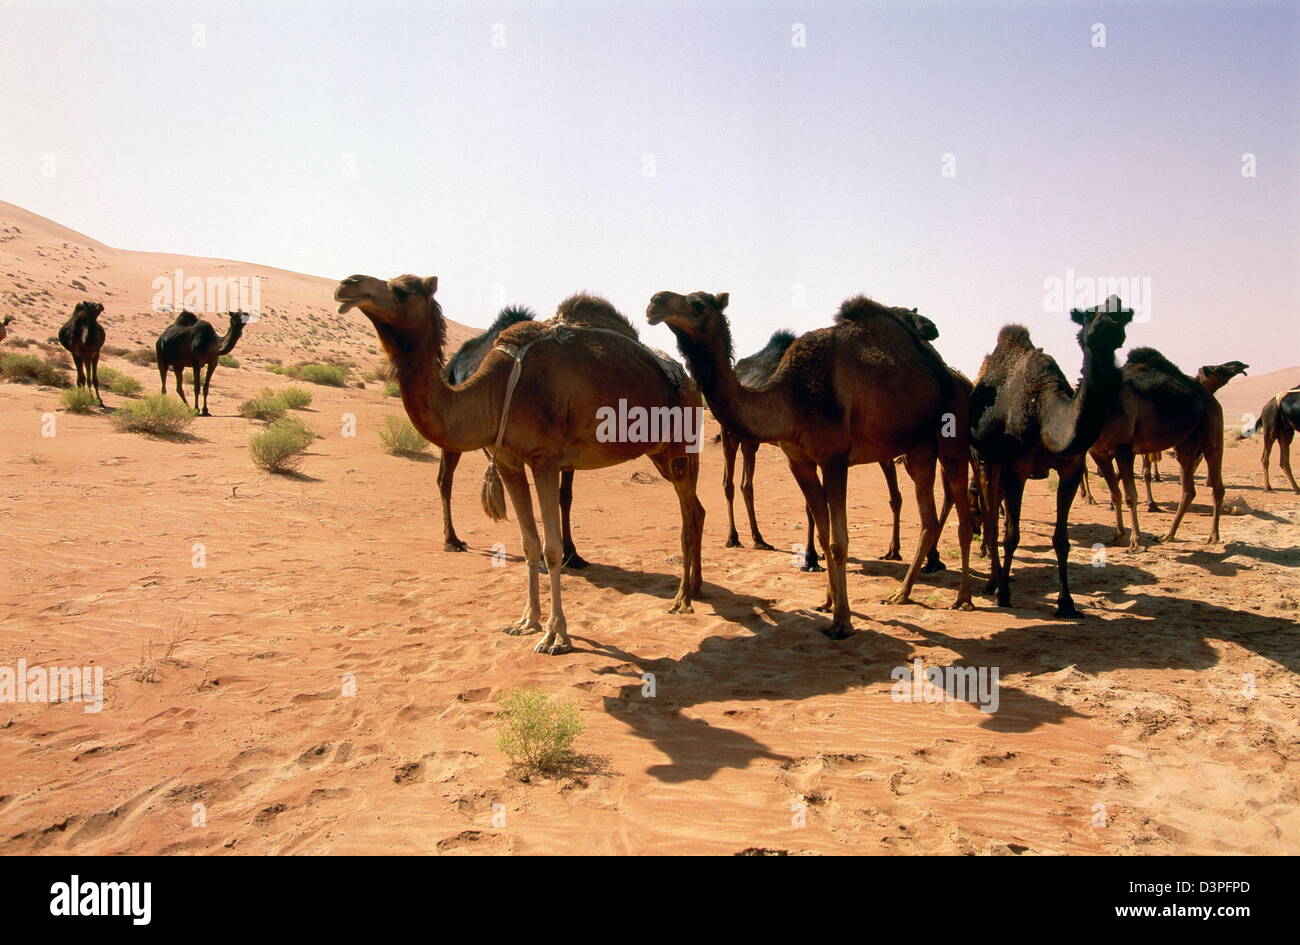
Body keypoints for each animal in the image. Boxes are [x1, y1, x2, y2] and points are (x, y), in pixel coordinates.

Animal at [336, 274, 705, 655]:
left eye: (401, 290)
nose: (348, 283)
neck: (496, 389)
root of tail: (688, 381)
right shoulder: (508, 462)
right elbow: (529, 543)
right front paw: (526, 621)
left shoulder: (545, 460)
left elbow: (551, 549)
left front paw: (556, 636)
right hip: (659, 452)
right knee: (696, 510)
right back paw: (694, 589)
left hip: (683, 445)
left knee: (688, 516)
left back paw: (682, 600)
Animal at [647, 290, 974, 640]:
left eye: (698, 304)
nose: (655, 302)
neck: (792, 398)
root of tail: (954, 378)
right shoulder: (800, 461)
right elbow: (823, 534)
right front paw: (828, 603)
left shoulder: (834, 459)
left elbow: (838, 540)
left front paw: (842, 622)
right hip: (918, 449)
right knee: (928, 518)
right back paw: (900, 594)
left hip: (953, 437)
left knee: (963, 517)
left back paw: (963, 599)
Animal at [970, 297, 1132, 617]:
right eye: (1091, 315)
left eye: (1123, 315)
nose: (1113, 306)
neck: (1046, 413)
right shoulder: (1017, 468)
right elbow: (1012, 534)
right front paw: (1004, 594)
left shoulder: (1071, 467)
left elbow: (1061, 540)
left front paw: (1066, 603)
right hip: (984, 459)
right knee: (992, 516)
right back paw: (992, 582)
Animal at [1090, 353, 1246, 549]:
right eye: (1212, 369)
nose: (1239, 365)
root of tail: (1211, 399)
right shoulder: (1098, 452)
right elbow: (1115, 493)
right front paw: (1117, 535)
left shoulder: (1124, 449)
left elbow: (1130, 495)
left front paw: (1135, 542)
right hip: (1186, 446)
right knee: (1189, 490)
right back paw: (1168, 535)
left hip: (1212, 436)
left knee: (1216, 487)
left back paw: (1212, 536)